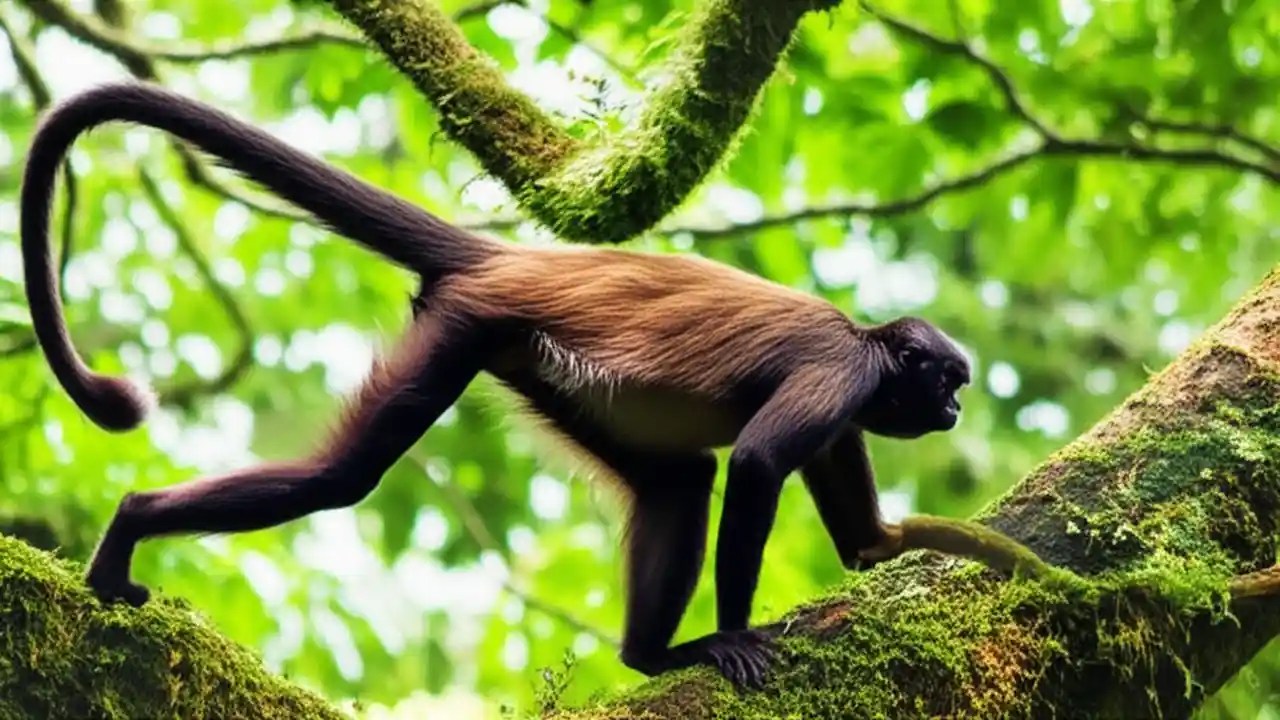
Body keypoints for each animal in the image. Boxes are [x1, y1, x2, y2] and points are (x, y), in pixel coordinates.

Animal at [19, 82, 971, 689]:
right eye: (951, 379)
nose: (959, 405)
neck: (869, 345)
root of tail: (514, 260)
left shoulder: (849, 407)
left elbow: (863, 546)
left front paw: (922, 543)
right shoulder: (840, 372)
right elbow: (761, 463)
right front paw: (739, 635)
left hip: (537, 362)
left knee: (677, 480)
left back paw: (649, 661)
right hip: (467, 324)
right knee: (341, 478)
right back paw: (131, 523)